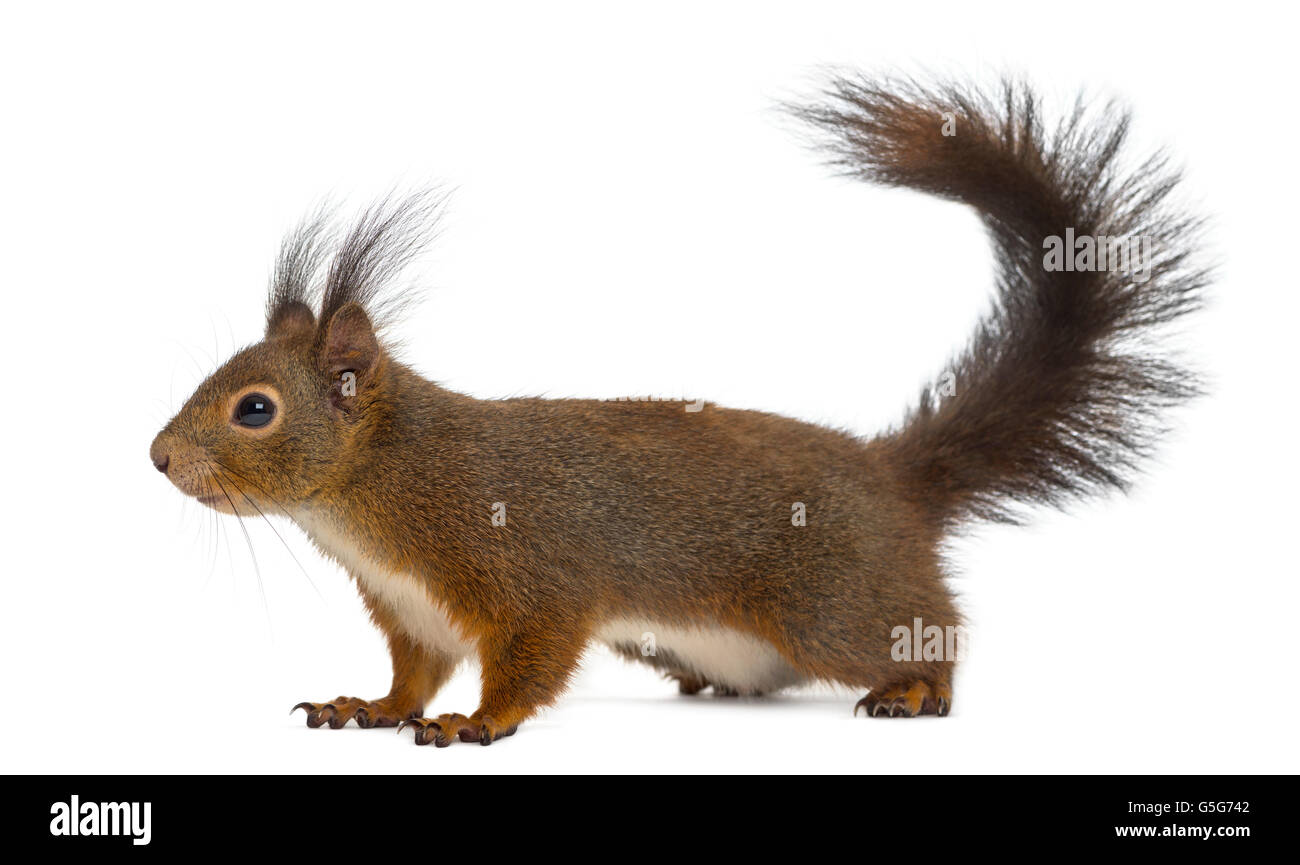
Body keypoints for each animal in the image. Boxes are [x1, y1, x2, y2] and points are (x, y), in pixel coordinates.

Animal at [150, 75, 1206, 747]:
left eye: (254, 408)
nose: (157, 457)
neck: (376, 488)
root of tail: (889, 475)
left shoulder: (527, 572)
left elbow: (529, 658)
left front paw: (477, 723)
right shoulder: (413, 613)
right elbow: (411, 672)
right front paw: (365, 706)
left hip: (832, 597)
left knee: (928, 624)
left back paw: (914, 689)